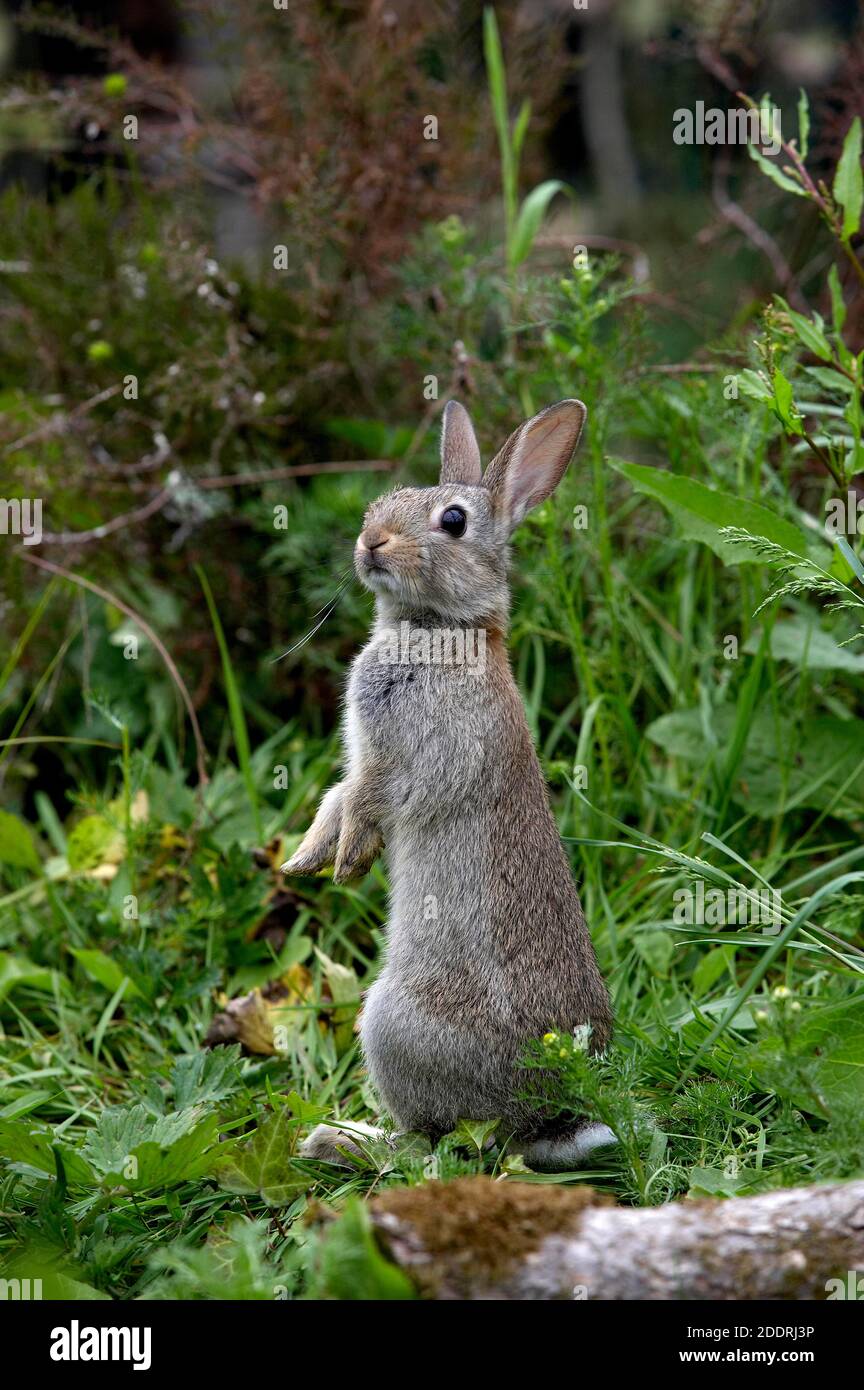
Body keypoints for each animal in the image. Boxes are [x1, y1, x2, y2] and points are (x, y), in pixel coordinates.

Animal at [283, 400, 613, 1170]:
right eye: (382, 503)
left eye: (454, 521)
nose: (370, 542)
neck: (440, 626)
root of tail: (546, 1112)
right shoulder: (359, 759)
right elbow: (337, 796)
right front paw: (307, 859)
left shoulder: (412, 755)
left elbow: (373, 795)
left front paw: (347, 860)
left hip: (390, 1024)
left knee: (431, 1147)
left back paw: (339, 1139)